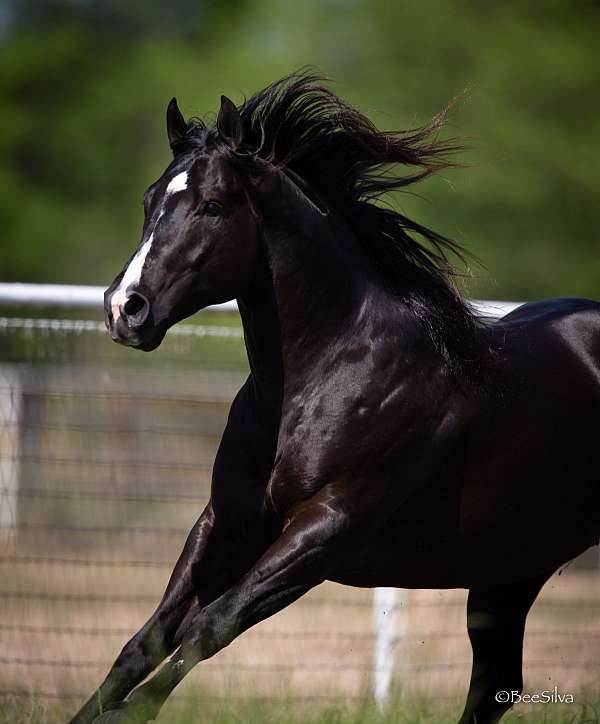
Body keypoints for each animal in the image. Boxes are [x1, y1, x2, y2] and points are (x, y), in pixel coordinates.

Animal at [69, 71, 600, 724]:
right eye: (149, 201)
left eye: (213, 205)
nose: (125, 308)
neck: (327, 379)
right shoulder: (226, 523)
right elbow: (144, 644)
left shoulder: (325, 533)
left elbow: (207, 629)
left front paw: (129, 713)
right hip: (512, 568)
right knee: (496, 681)